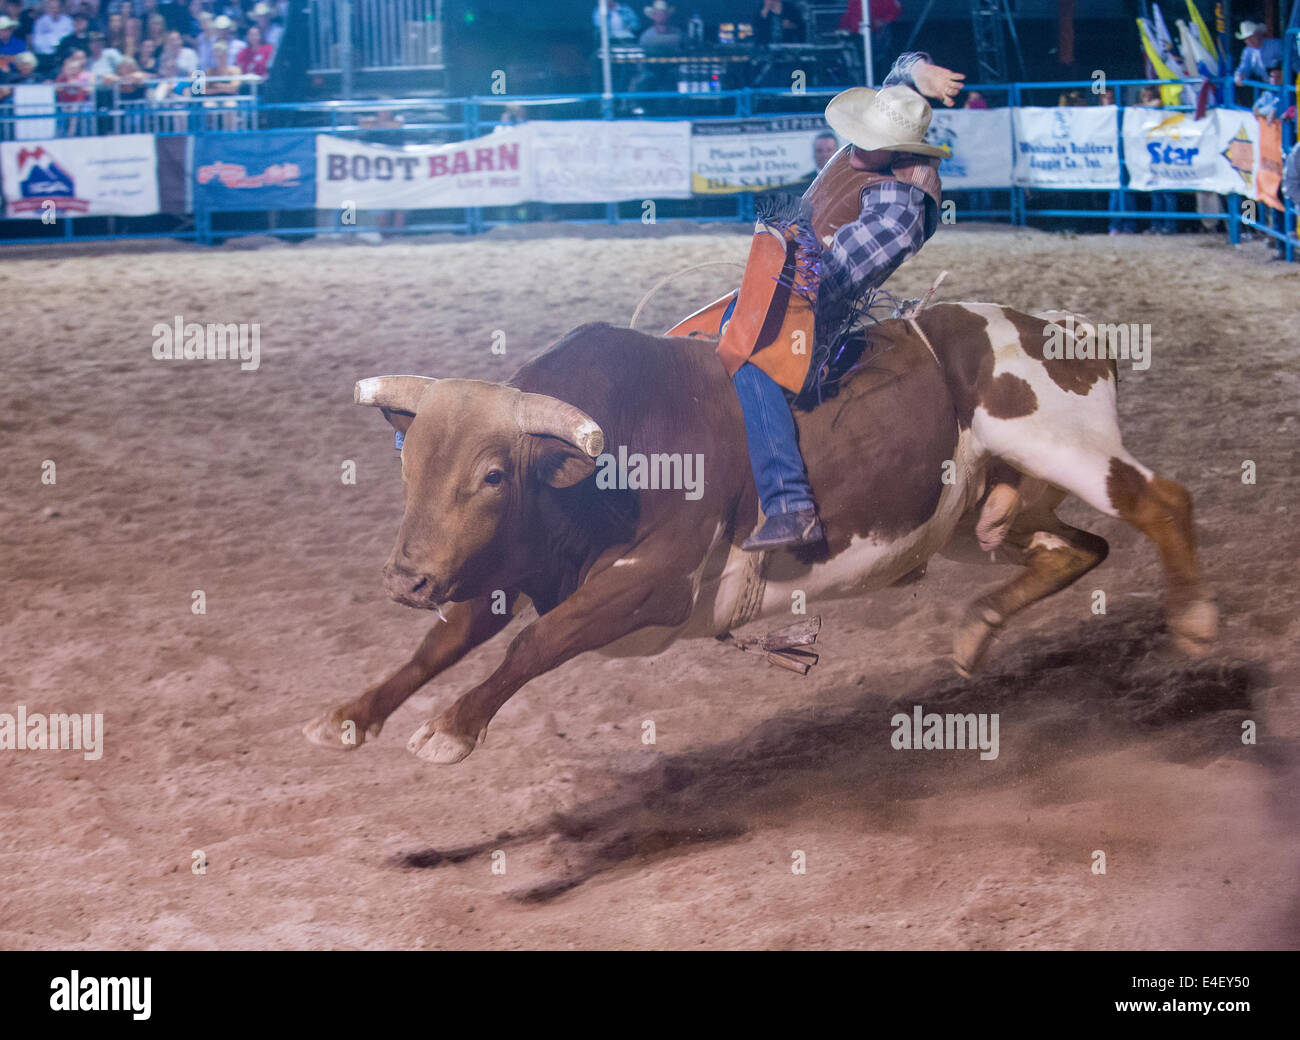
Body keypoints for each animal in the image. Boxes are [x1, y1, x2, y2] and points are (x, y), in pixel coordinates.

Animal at [303, 303, 1217, 764]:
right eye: (409, 463)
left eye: (494, 475)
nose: (406, 579)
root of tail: (1073, 335)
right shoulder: (494, 568)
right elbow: (441, 642)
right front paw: (351, 715)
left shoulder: (652, 585)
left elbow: (537, 642)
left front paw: (452, 730)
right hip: (983, 516)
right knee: (1079, 547)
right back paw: (977, 630)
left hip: (1058, 441)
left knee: (1159, 501)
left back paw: (1195, 623)